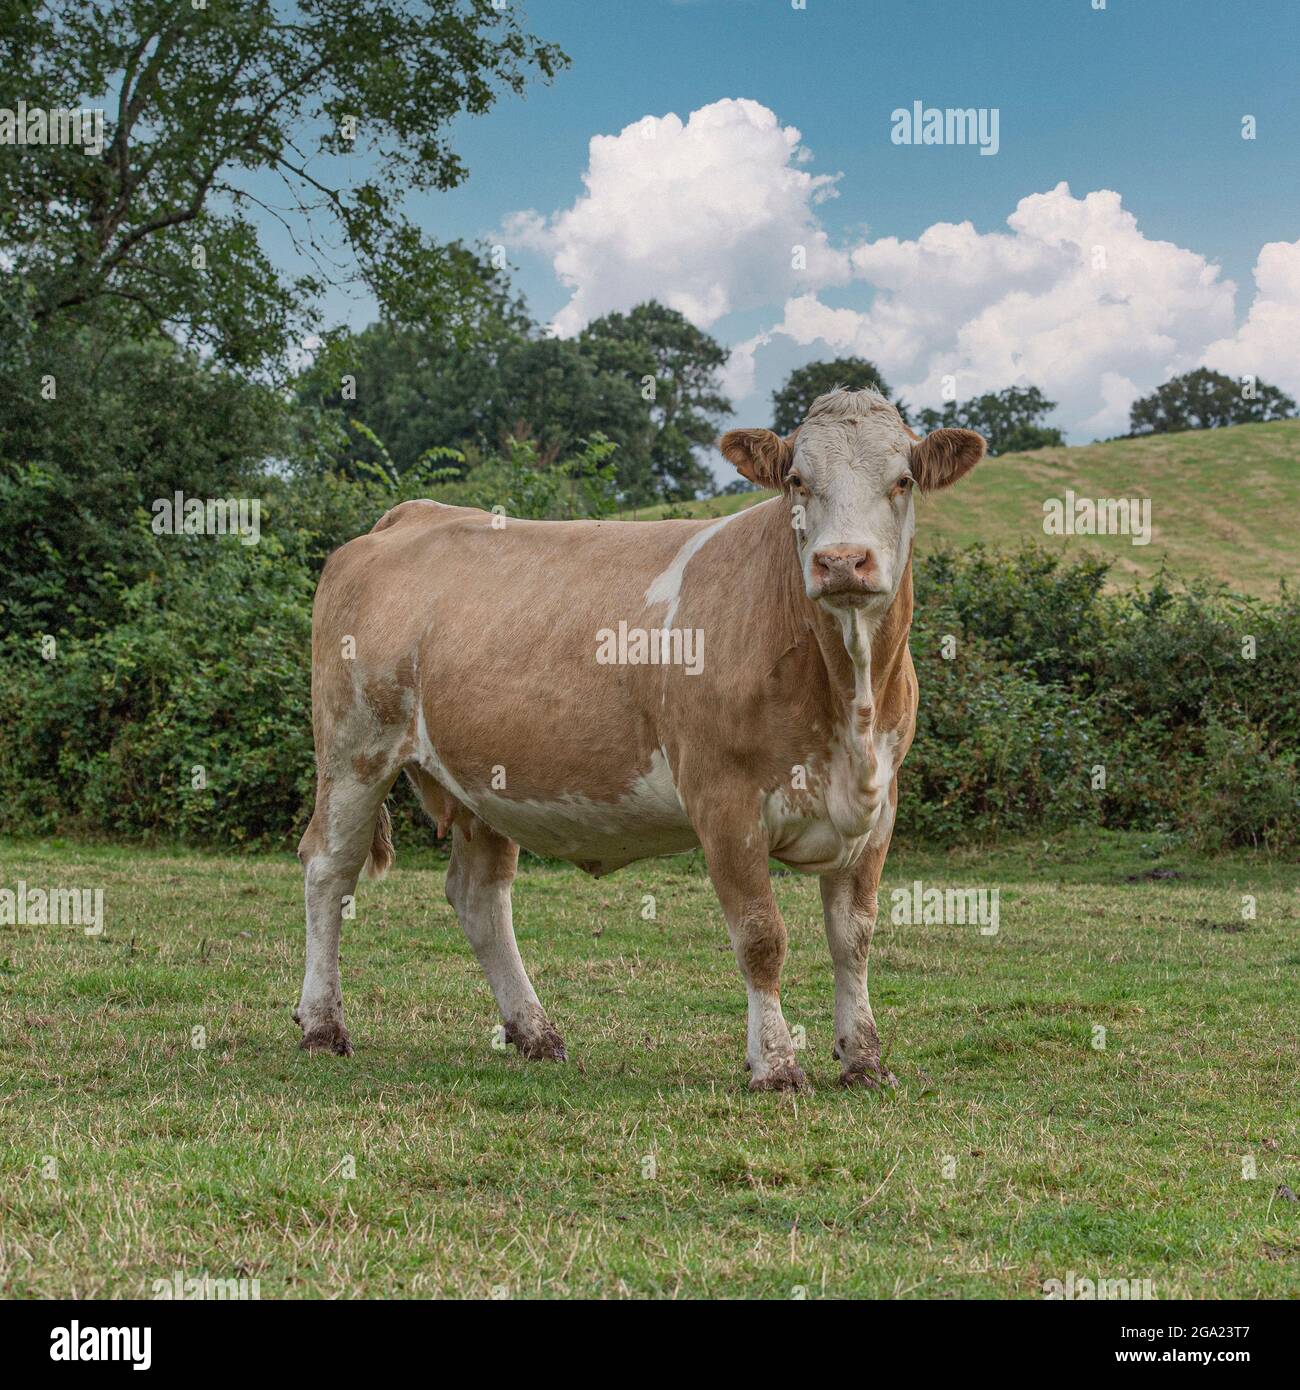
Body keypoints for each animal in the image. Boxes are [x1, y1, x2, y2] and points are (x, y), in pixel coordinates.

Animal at [295, 388, 985, 1090]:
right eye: (797, 480)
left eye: (902, 482)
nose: (841, 561)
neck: (848, 699)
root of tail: (410, 515)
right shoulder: (723, 798)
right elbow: (762, 937)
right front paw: (775, 1064)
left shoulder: (879, 802)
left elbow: (853, 937)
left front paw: (864, 1059)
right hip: (354, 750)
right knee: (329, 868)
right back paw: (323, 1026)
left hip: (481, 782)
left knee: (479, 898)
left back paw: (535, 1033)